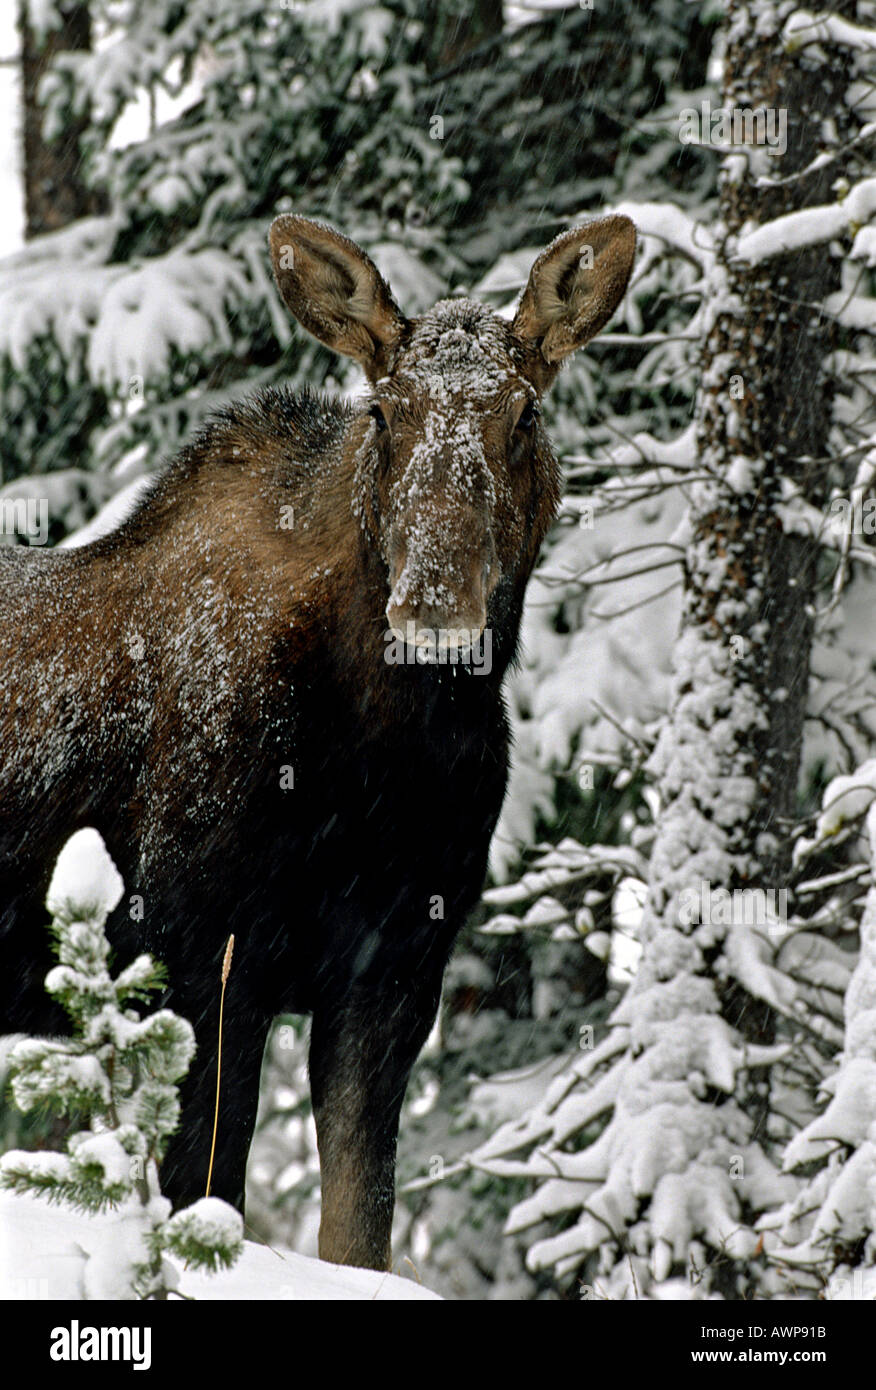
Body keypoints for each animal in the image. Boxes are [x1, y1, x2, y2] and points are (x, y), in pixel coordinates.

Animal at [0, 211, 636, 1269]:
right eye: (383, 413)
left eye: (524, 416)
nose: (433, 602)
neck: (387, 756)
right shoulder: (192, 949)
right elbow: (203, 1197)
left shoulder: (395, 971)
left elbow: (361, 1226)